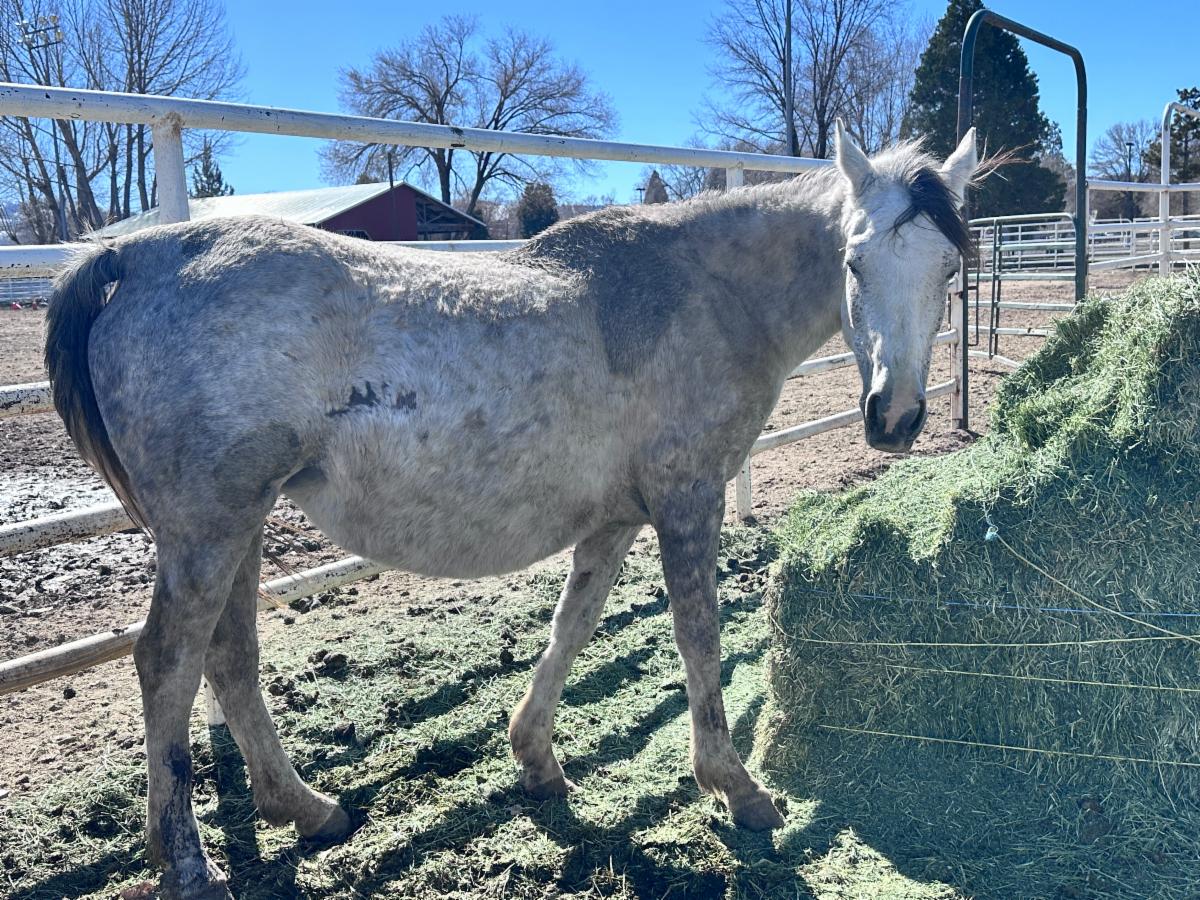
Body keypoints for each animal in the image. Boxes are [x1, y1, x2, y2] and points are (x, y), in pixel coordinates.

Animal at [44, 122, 977, 899]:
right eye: (854, 263)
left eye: (949, 269)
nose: (895, 417)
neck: (706, 292)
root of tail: (142, 256)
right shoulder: (687, 498)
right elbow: (699, 638)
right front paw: (736, 787)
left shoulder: (616, 517)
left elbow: (574, 623)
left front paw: (534, 757)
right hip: (209, 527)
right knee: (169, 663)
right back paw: (190, 867)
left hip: (237, 525)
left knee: (230, 656)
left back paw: (308, 810)